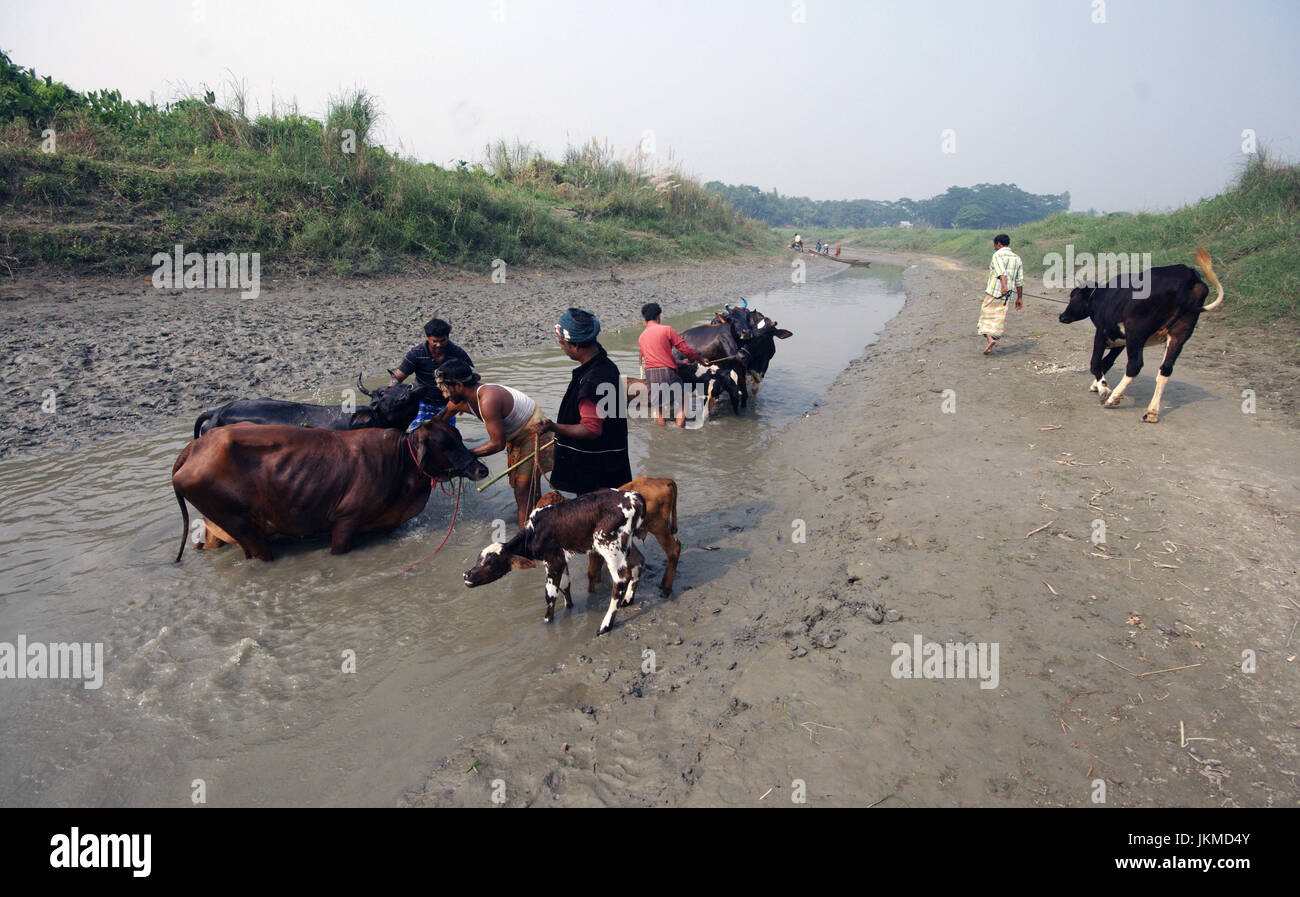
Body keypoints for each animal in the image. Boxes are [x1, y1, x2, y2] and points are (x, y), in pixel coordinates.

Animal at [172, 419, 488, 562]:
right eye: (445, 444)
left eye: (459, 437)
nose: (481, 470)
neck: (401, 461)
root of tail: (195, 448)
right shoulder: (345, 521)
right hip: (244, 527)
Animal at [463, 489, 646, 635]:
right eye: (478, 558)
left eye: (491, 563)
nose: (466, 575)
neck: (532, 535)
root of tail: (633, 496)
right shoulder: (561, 560)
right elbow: (565, 586)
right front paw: (569, 607)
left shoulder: (553, 561)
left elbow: (550, 594)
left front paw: (547, 621)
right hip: (626, 543)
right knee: (638, 561)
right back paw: (628, 599)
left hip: (608, 545)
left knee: (621, 580)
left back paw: (605, 626)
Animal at [534, 476, 681, 599]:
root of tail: (662, 481)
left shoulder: (595, 550)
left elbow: (591, 573)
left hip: (659, 528)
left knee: (674, 550)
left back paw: (666, 589)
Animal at [1058, 246, 1224, 422]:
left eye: (1073, 296)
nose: (1062, 316)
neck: (1101, 297)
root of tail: (1188, 275)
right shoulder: (1119, 341)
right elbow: (1106, 362)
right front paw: (1097, 385)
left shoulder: (1102, 334)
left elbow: (1096, 362)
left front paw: (1104, 389)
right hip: (1179, 334)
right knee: (1165, 369)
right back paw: (1151, 412)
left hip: (1136, 332)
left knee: (1134, 365)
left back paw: (1113, 398)